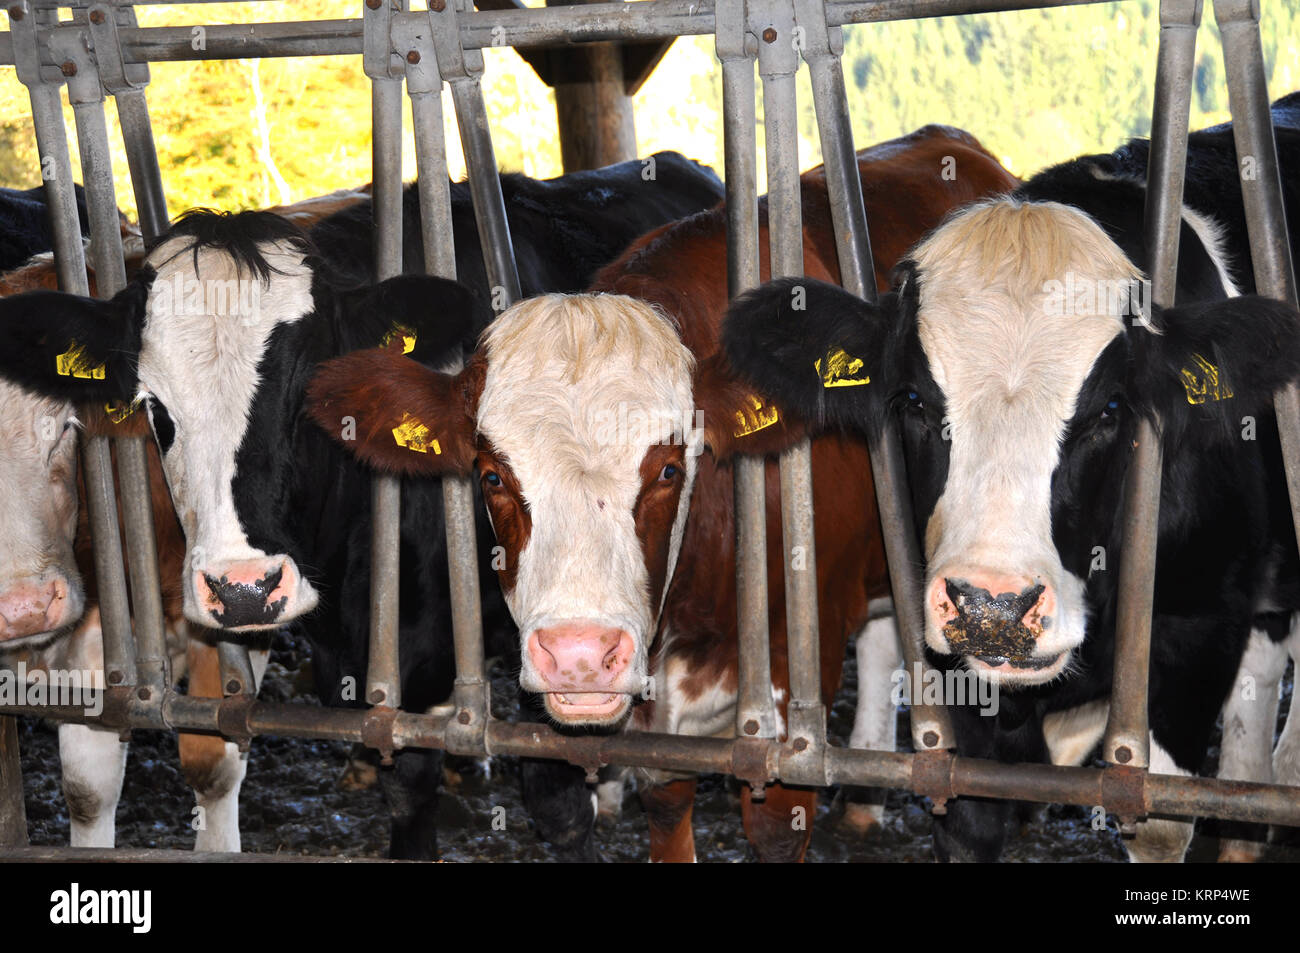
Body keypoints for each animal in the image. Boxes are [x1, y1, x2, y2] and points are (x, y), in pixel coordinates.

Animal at [303, 125, 1019, 860]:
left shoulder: (800, 675)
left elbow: (775, 820)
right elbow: (667, 802)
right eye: (492, 474)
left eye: (671, 469)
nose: (579, 656)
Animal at [719, 98, 1300, 861]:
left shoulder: (1196, 631)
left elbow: (1162, 816)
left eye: (1111, 409)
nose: (991, 606)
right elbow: (969, 815)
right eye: (912, 401)